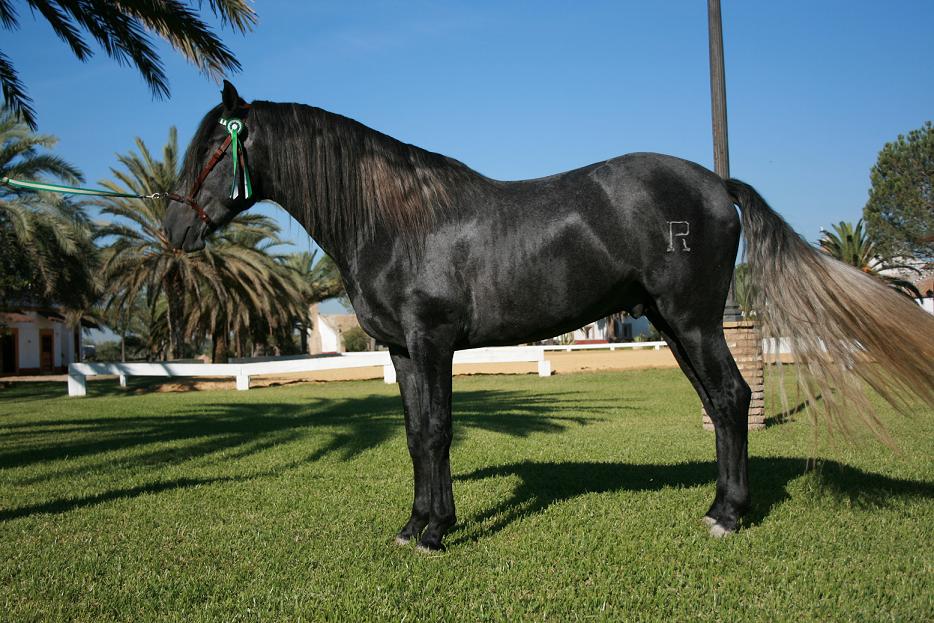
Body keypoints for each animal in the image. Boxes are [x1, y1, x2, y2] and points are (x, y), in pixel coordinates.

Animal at [164, 81, 934, 552]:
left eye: (214, 149)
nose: (173, 230)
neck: (397, 218)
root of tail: (718, 184)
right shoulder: (403, 352)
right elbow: (415, 436)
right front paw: (416, 524)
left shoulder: (433, 342)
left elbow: (438, 432)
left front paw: (437, 533)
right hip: (669, 323)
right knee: (719, 401)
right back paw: (720, 506)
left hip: (693, 321)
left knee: (735, 396)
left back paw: (728, 516)